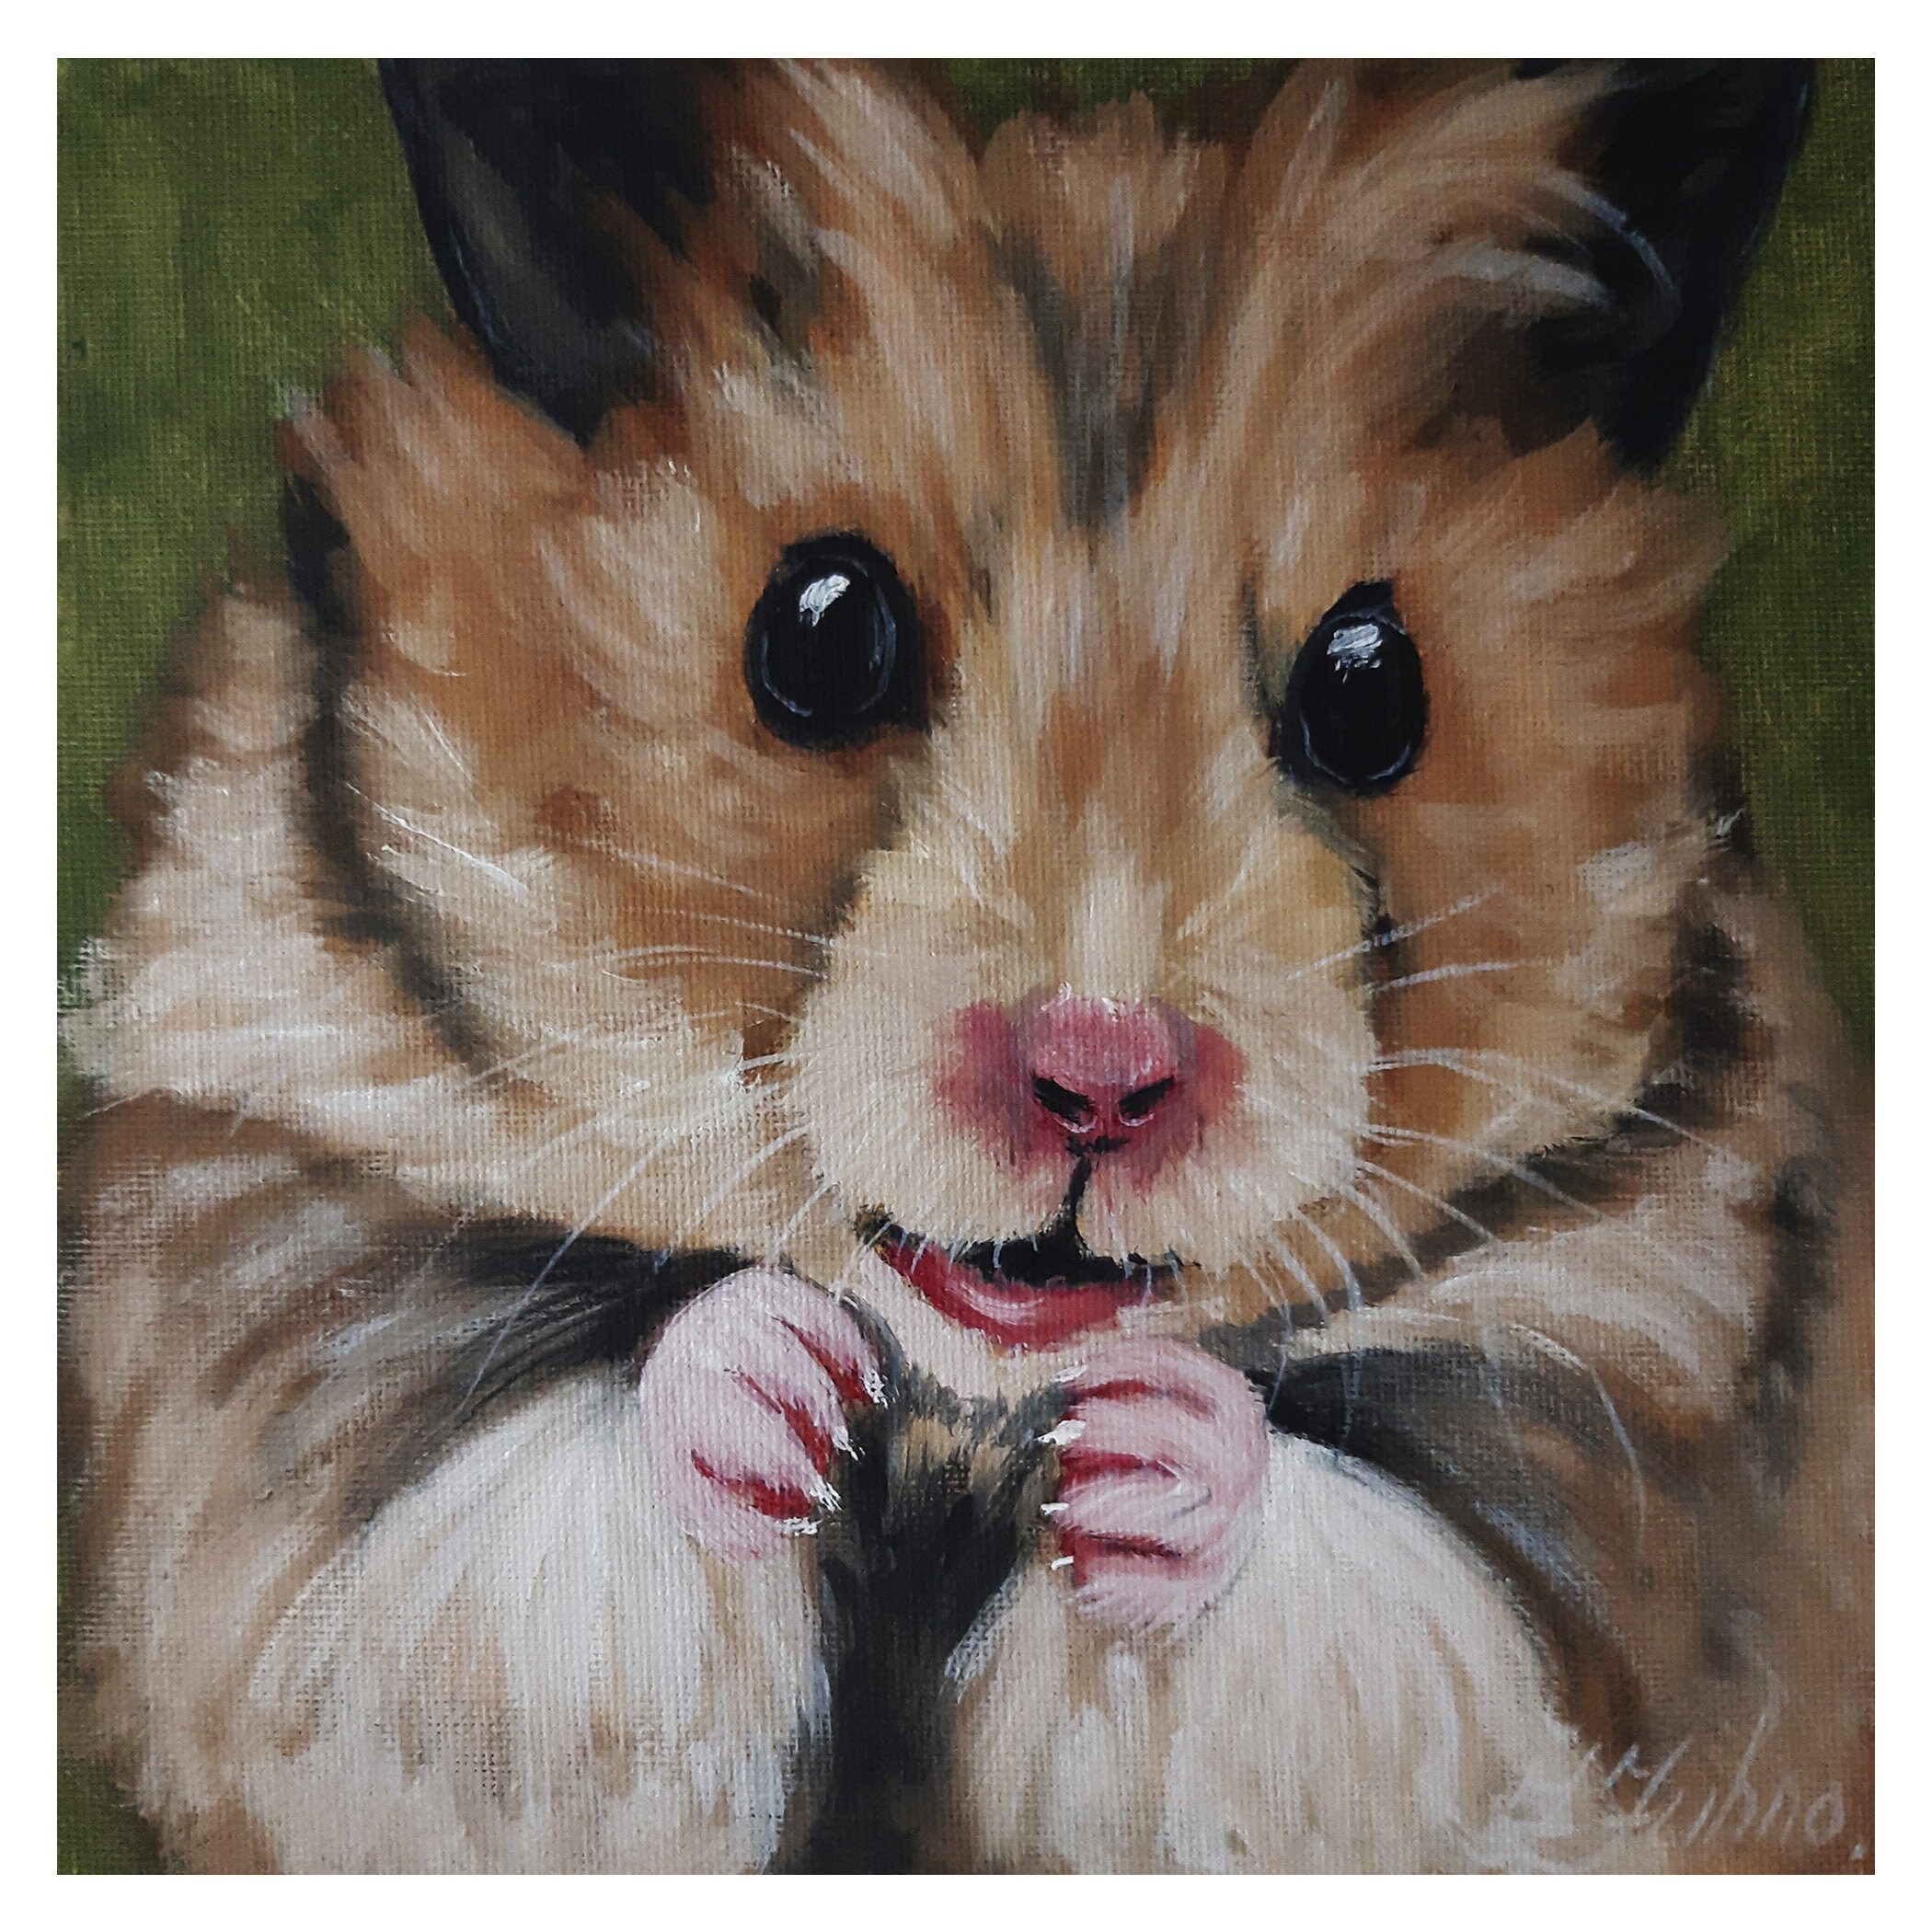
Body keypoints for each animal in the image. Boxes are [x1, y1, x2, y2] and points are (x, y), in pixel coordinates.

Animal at [61, 59, 1870, 1871]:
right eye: (820, 631)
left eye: (1371, 687)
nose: (1101, 1083)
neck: (964, 1416)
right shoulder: (269, 1322)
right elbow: (472, 1580)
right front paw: (779, 1385)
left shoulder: (1631, 1451)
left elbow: (1372, 1621)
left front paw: (1145, 1452)